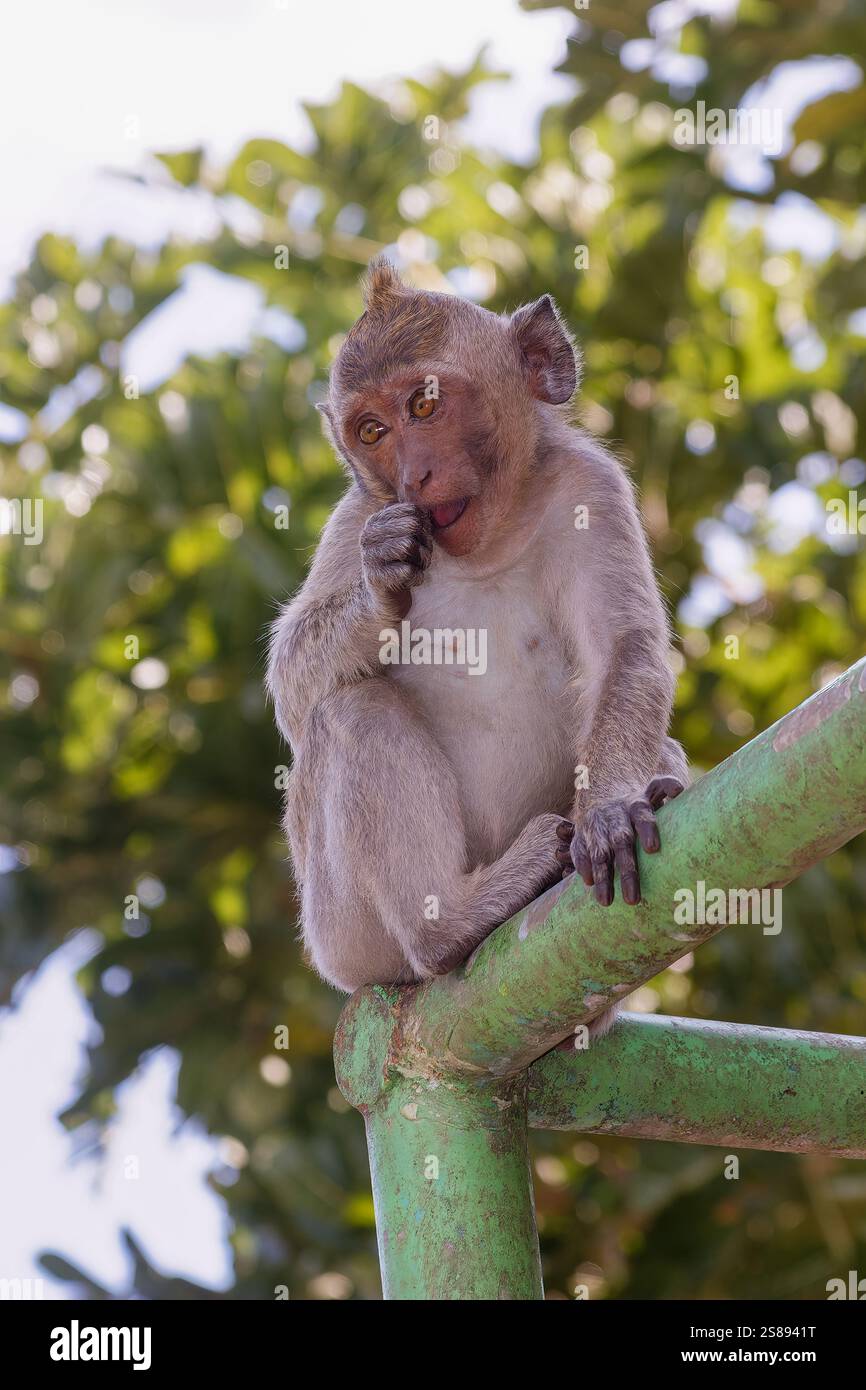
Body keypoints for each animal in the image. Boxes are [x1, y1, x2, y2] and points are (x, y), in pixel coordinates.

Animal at [266, 257, 687, 1007]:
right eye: (370, 432)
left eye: (423, 407)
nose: (415, 475)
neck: (490, 538)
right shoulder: (357, 514)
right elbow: (291, 686)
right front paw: (380, 583)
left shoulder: (592, 487)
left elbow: (624, 650)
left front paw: (611, 808)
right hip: (340, 934)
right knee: (354, 708)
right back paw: (453, 921)